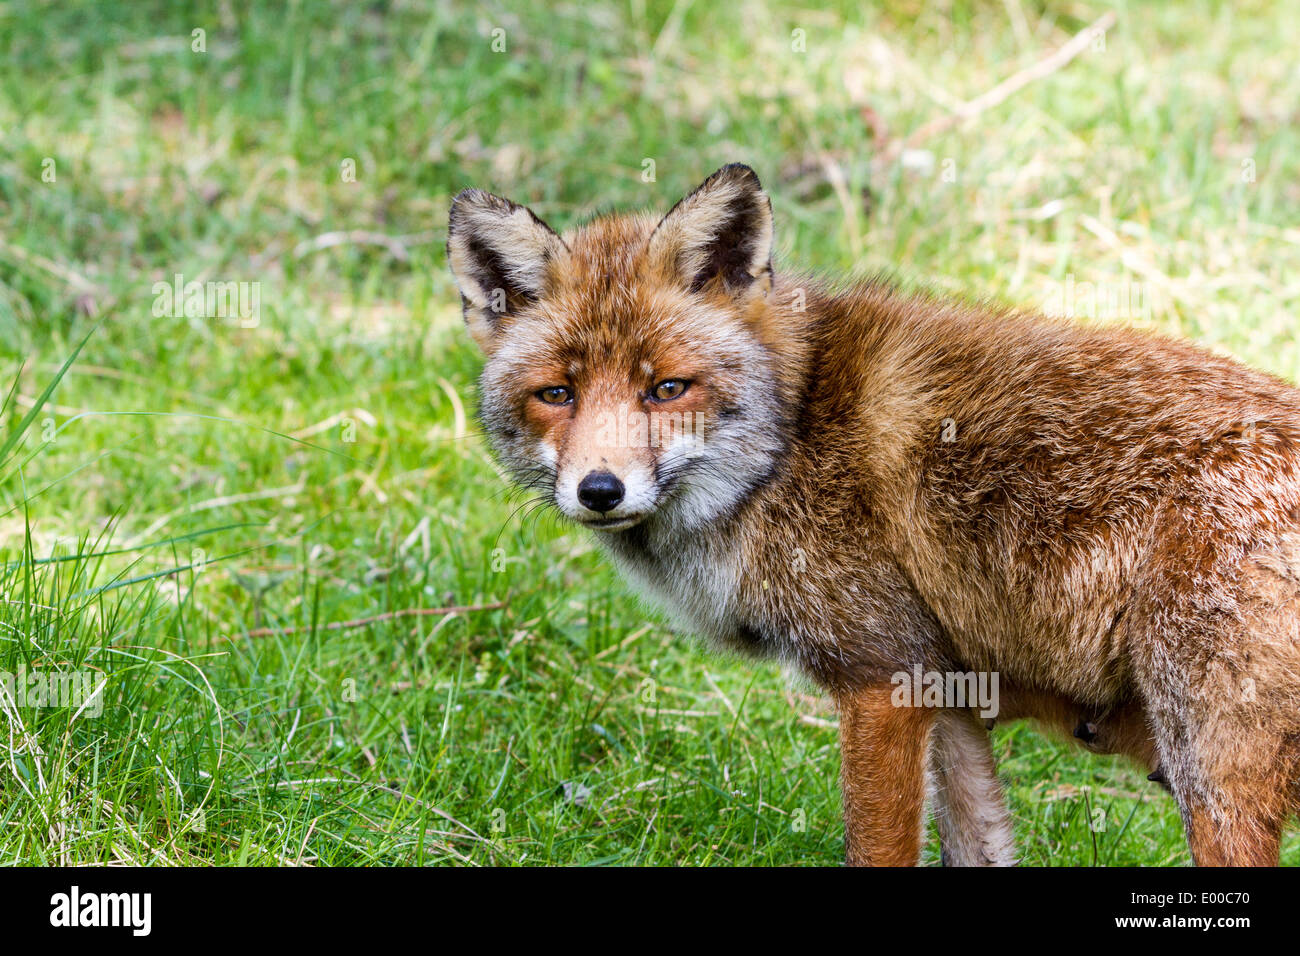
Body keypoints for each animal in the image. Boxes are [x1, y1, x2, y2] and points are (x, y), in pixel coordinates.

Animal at [447, 163, 1300, 866]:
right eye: (557, 394)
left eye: (668, 389)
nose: (600, 490)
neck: (788, 441)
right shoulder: (946, 691)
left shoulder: (881, 680)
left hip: (1208, 777)